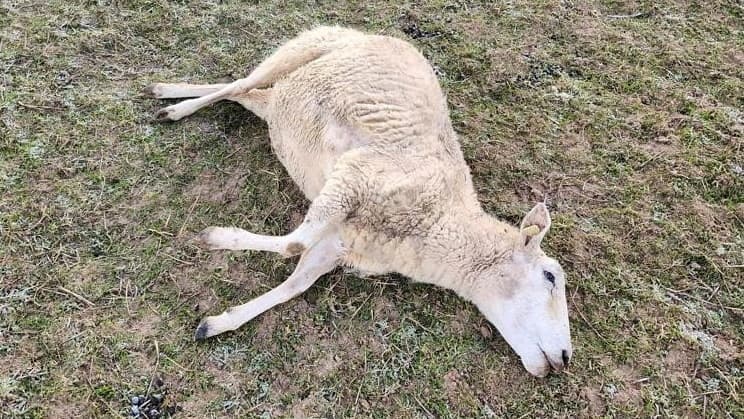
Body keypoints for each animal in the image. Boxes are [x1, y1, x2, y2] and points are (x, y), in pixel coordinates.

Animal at [145, 26, 572, 377]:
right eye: (551, 276)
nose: (565, 359)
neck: (435, 226)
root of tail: (362, 32)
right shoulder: (356, 175)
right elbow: (292, 243)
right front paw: (216, 237)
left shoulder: (340, 241)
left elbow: (295, 282)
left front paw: (216, 323)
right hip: (300, 50)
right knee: (238, 85)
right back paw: (172, 105)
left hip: (279, 99)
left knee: (245, 92)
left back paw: (165, 91)